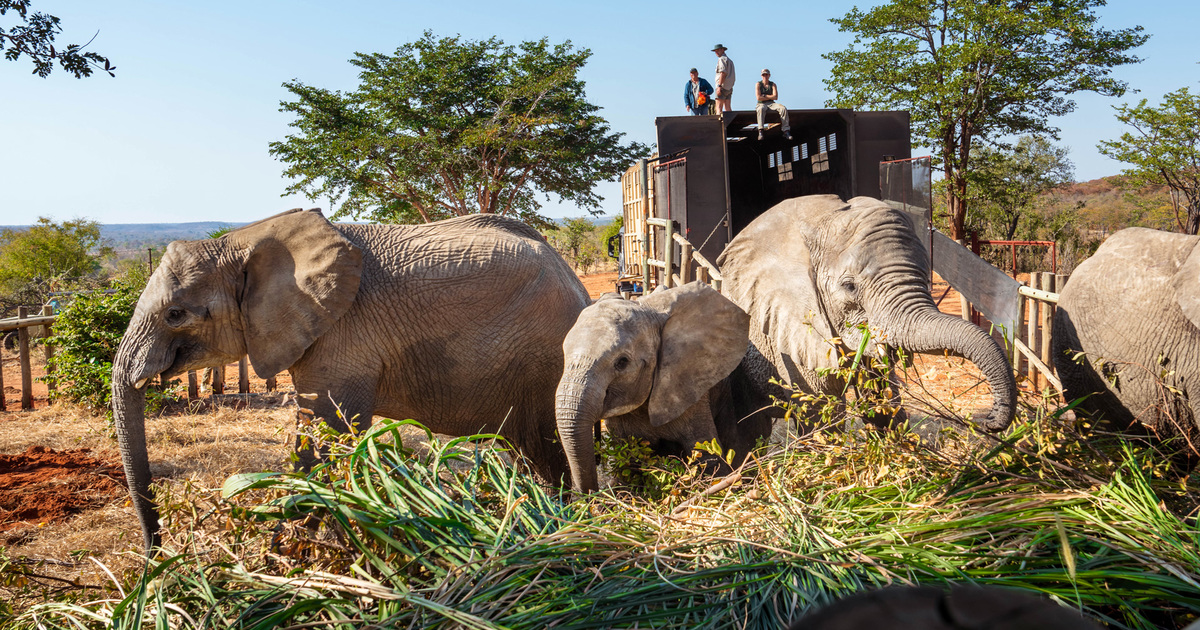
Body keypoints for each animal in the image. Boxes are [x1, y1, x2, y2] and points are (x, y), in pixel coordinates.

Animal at [112, 208, 591, 551]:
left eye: (176, 314)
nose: (156, 554)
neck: (242, 240)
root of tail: (574, 278)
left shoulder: (341, 336)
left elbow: (323, 441)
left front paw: (286, 561)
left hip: (543, 358)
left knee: (546, 447)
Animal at [716, 194, 1018, 433]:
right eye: (849, 287)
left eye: (926, 277)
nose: (988, 421)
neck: (819, 219)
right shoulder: (792, 336)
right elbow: (823, 416)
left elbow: (882, 406)